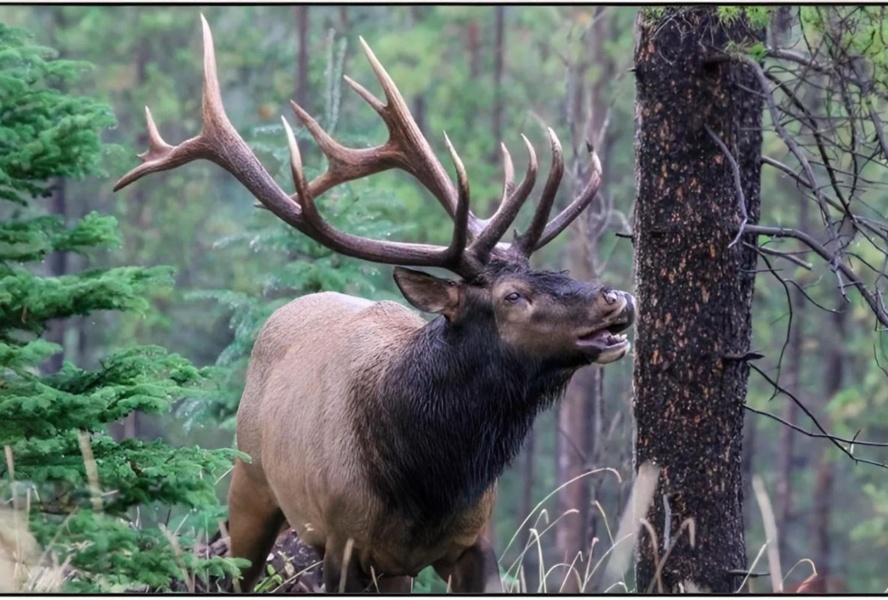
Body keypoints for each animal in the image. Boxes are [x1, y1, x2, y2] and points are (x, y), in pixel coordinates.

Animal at [114, 16, 636, 594]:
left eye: (556, 273)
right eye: (512, 297)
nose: (617, 296)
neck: (428, 479)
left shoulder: (473, 541)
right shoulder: (344, 545)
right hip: (251, 483)